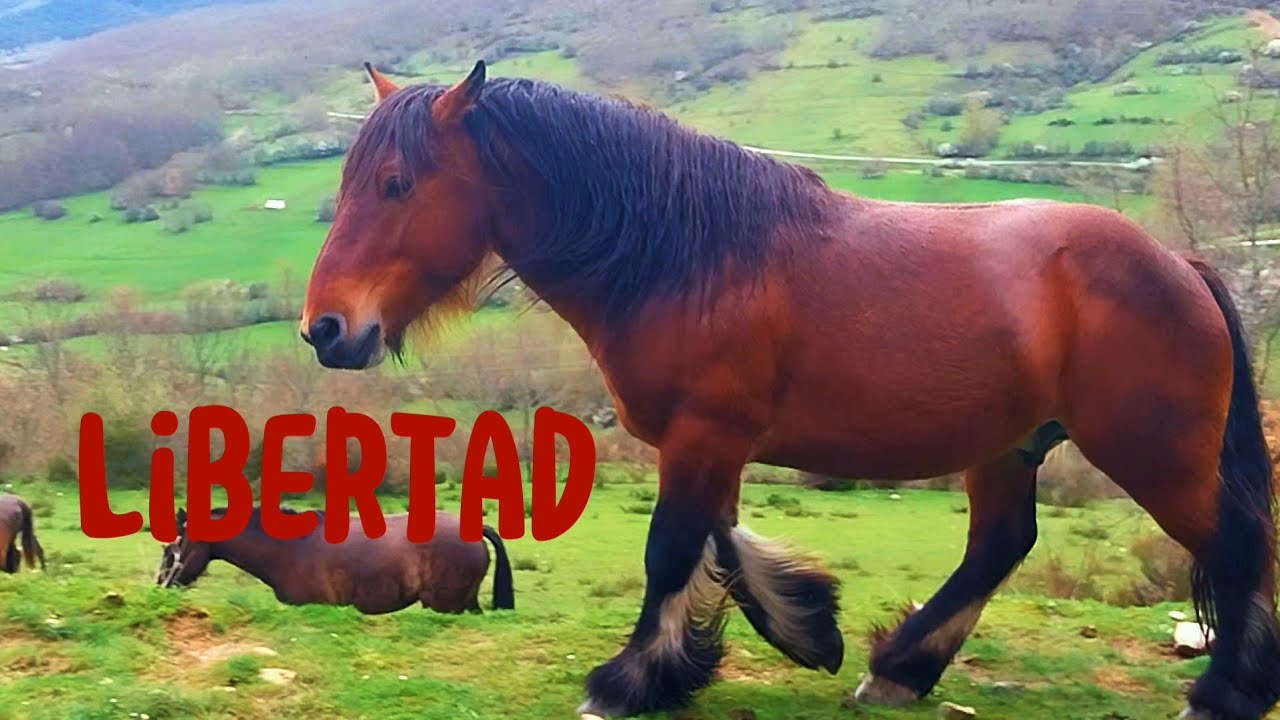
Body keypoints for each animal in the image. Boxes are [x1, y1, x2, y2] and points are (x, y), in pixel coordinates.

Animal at [297, 60, 1280, 720]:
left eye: (396, 184)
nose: (326, 329)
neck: (686, 258)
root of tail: (1181, 266)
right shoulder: (714, 444)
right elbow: (719, 544)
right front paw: (793, 630)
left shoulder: (703, 436)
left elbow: (672, 550)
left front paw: (628, 680)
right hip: (1008, 448)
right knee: (1001, 545)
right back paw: (900, 670)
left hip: (1154, 456)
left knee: (1233, 547)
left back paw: (1221, 692)